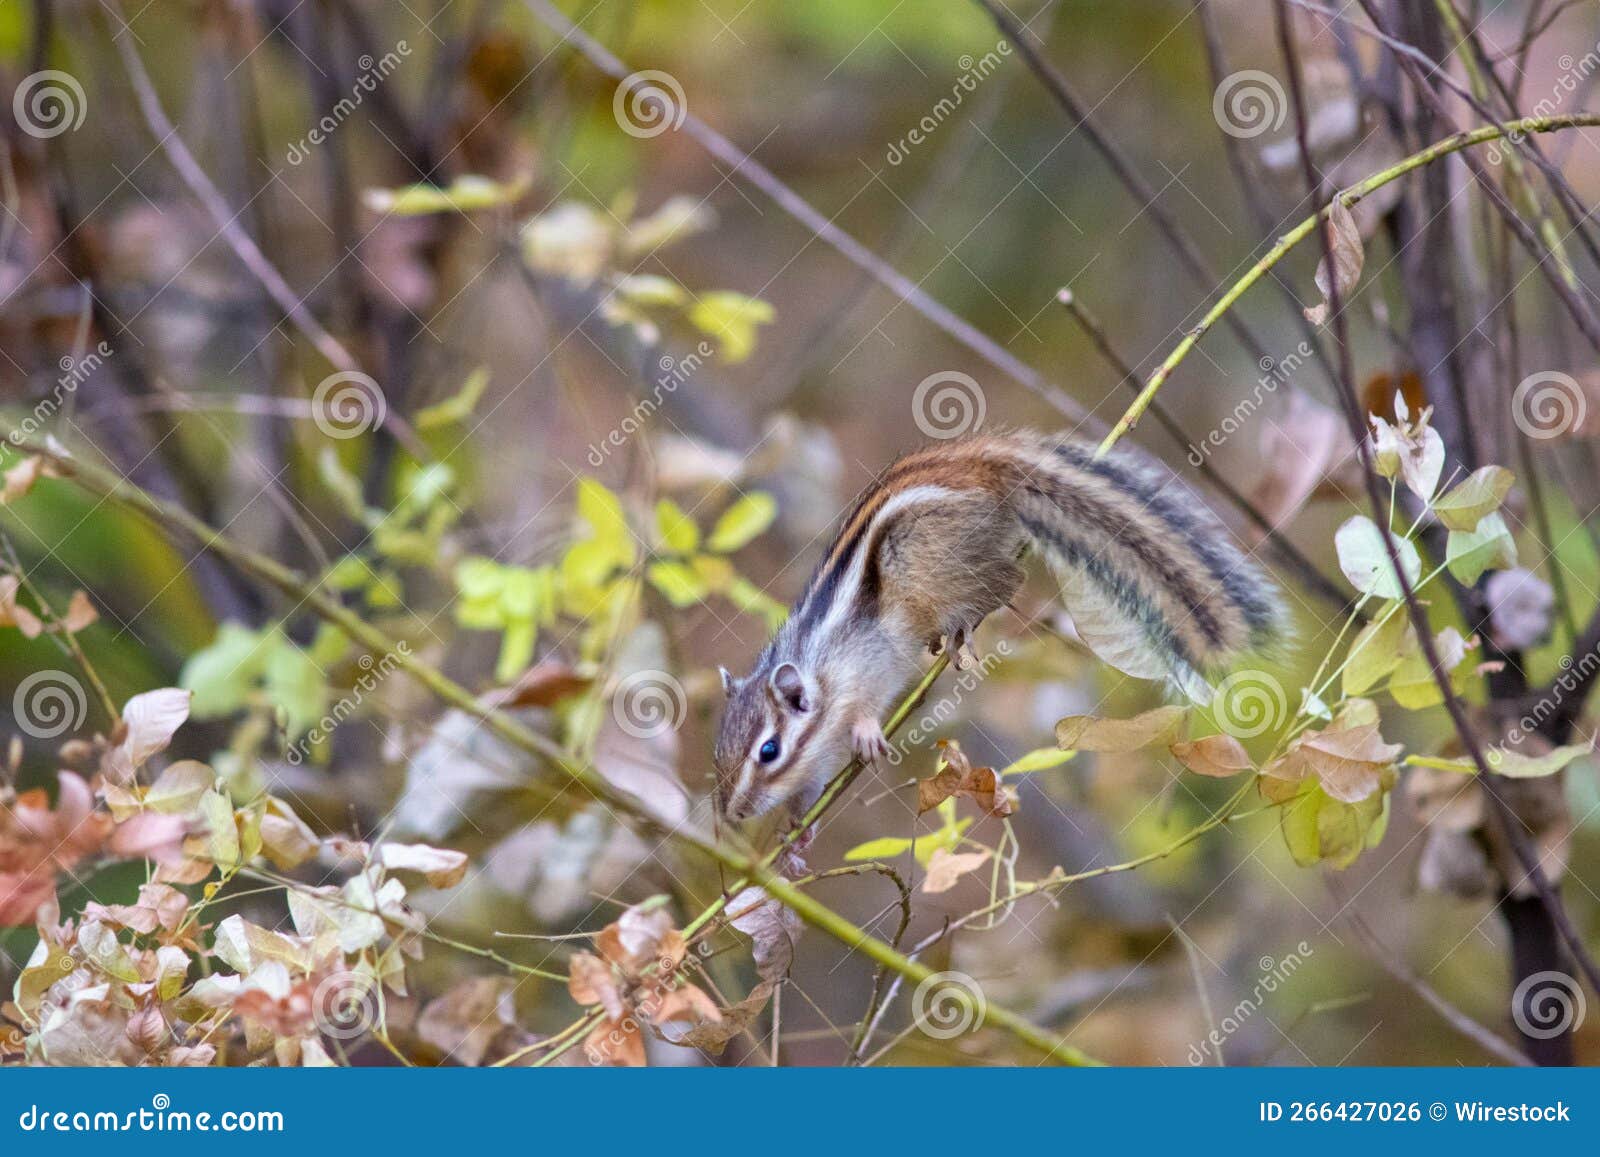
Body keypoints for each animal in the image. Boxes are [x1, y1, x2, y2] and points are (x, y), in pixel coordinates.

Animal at [713, 430, 1286, 821]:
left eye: (769, 751)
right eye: (718, 751)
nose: (732, 814)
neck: (818, 668)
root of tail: (985, 464)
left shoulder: (863, 666)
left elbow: (865, 706)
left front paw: (867, 732)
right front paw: (796, 835)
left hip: (934, 563)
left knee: (1009, 579)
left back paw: (963, 625)